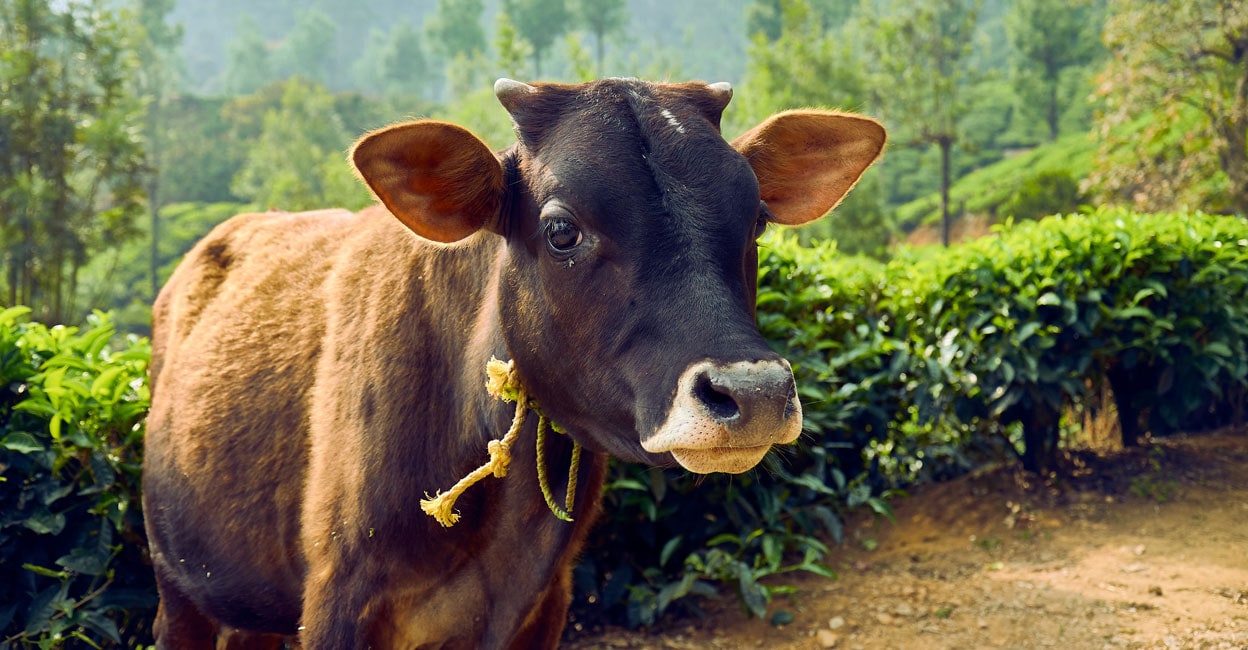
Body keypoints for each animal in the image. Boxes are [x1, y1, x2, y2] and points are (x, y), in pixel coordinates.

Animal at [142, 77, 885, 649]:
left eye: (755, 219)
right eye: (561, 230)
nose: (753, 393)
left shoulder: (545, 606)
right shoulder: (336, 604)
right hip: (176, 585)